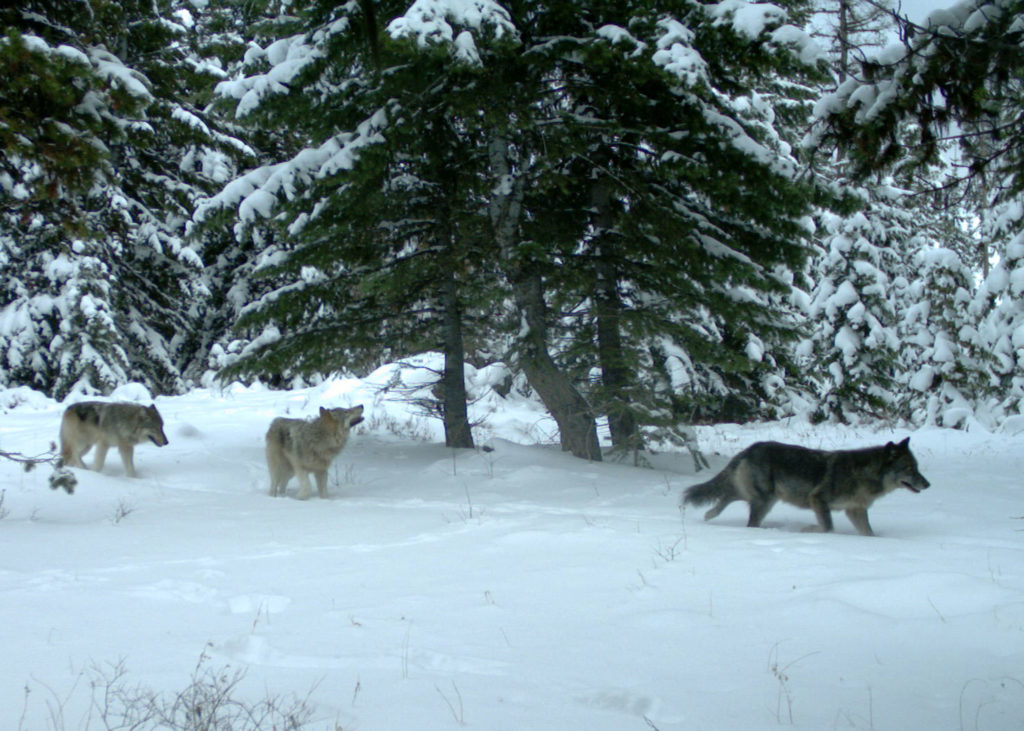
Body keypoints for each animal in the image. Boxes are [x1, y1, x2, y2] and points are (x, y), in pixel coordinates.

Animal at [681, 438, 930, 536]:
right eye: (909, 469)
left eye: (916, 467)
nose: (928, 484)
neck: (863, 476)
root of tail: (750, 448)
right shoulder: (818, 500)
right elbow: (827, 527)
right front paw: (808, 530)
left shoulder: (855, 511)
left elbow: (869, 533)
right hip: (763, 500)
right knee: (747, 520)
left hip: (761, 498)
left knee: (724, 498)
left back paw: (709, 515)